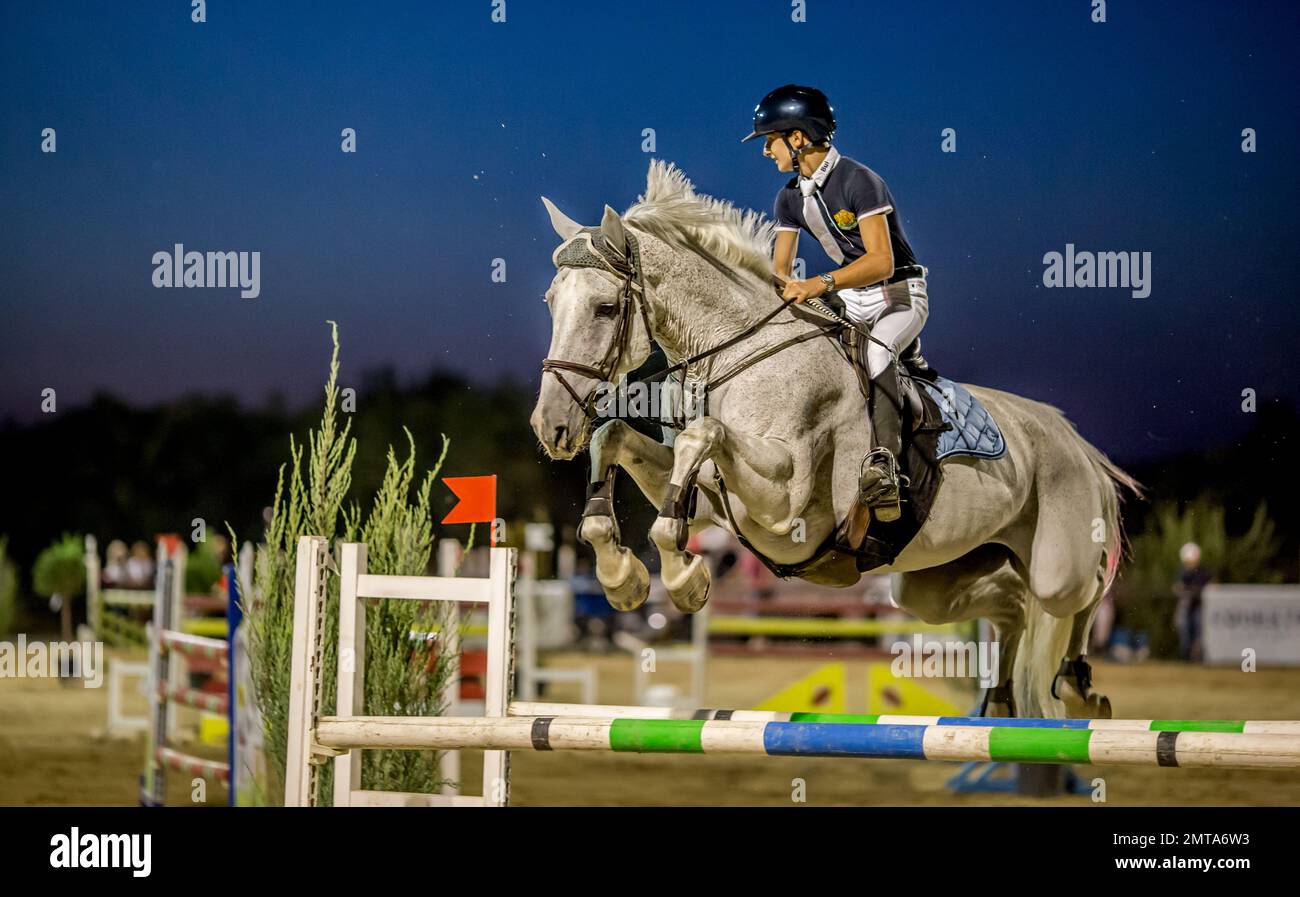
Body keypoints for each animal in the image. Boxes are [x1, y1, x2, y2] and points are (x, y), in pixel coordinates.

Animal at [530, 161, 1137, 718]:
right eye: (550, 301)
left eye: (606, 307)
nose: (549, 426)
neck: (737, 353)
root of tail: (1073, 439)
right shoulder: (710, 506)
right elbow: (613, 437)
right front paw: (622, 576)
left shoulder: (786, 510)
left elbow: (699, 437)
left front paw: (683, 580)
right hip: (933, 582)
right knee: (1012, 606)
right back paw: (1001, 699)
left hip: (1059, 566)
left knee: (1084, 591)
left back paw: (1080, 688)